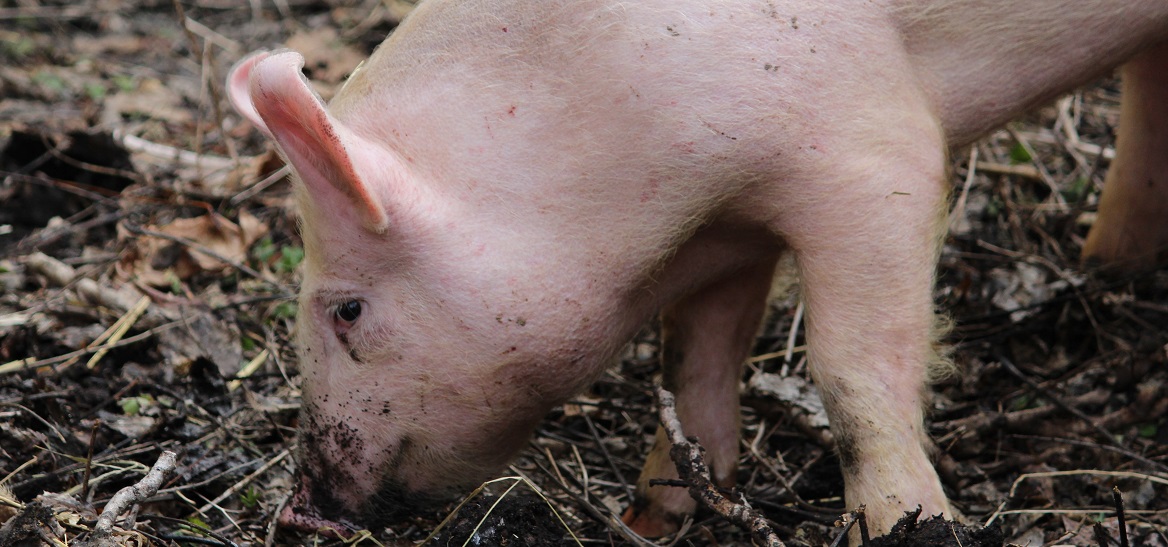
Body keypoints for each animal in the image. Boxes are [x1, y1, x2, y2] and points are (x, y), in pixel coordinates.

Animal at [226, 0, 1168, 540]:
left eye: (346, 311)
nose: (300, 505)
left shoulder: (874, 152)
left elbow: (852, 370)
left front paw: (909, 523)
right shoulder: (732, 235)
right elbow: (696, 367)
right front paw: (649, 520)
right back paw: (1111, 261)